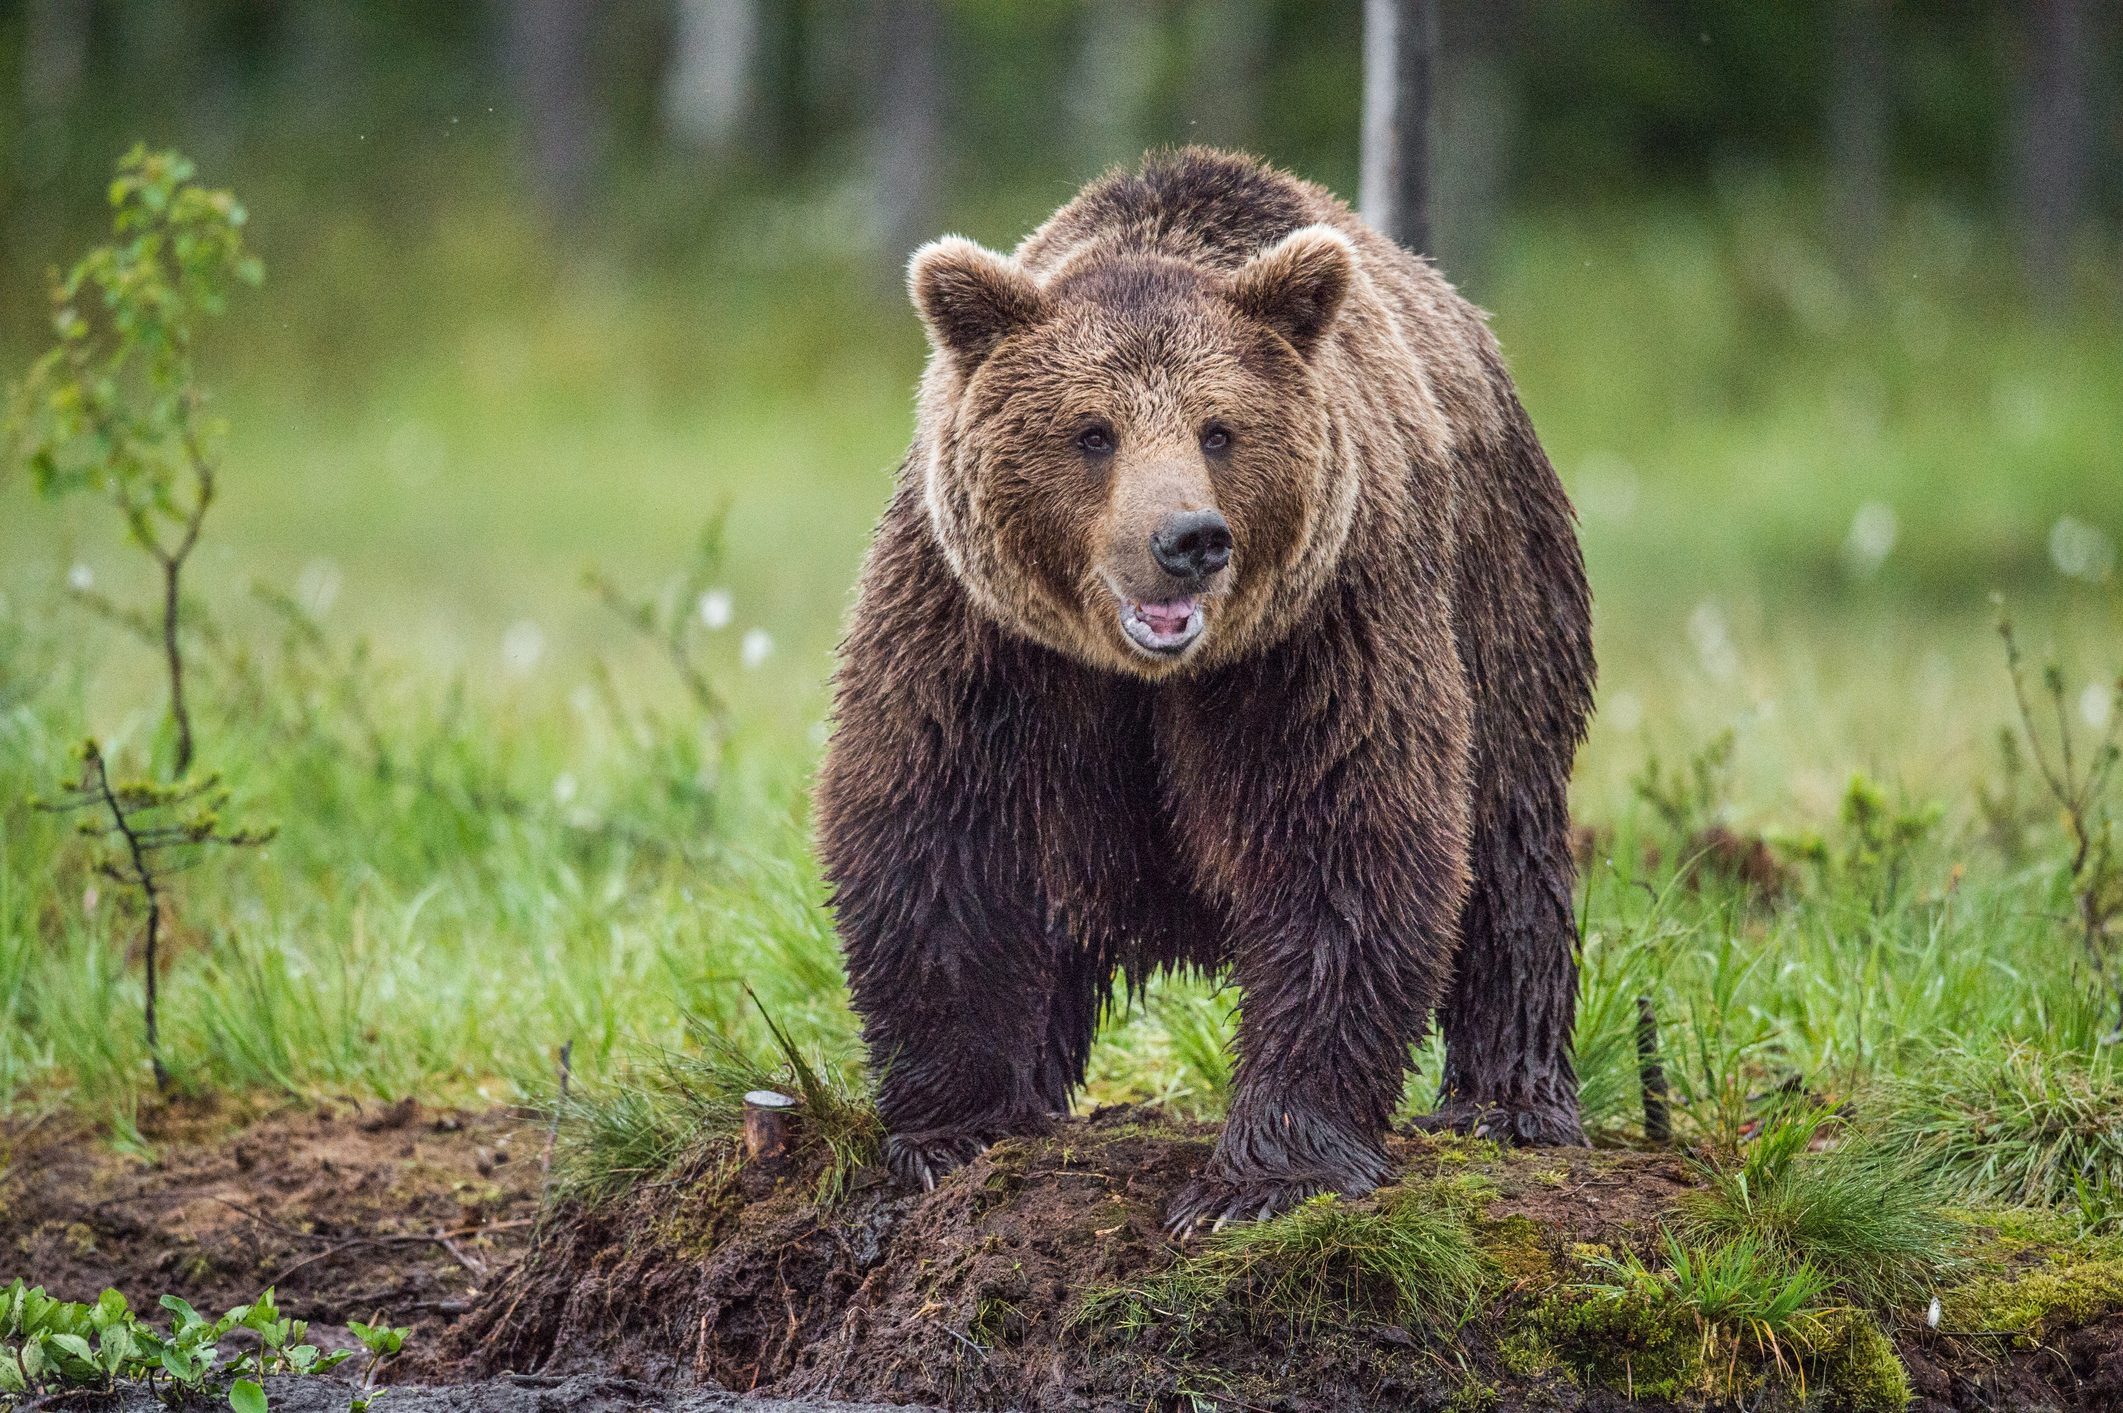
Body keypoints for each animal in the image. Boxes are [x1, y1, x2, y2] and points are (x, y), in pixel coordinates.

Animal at [814, 148, 1594, 1232]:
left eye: (1218, 430)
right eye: (1091, 431)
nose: (1187, 539)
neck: (1143, 674)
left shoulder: (1320, 632)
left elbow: (1341, 838)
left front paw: (1263, 1175)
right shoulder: (979, 637)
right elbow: (940, 833)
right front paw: (956, 1127)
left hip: (1503, 593)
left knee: (1509, 844)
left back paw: (1506, 1102)